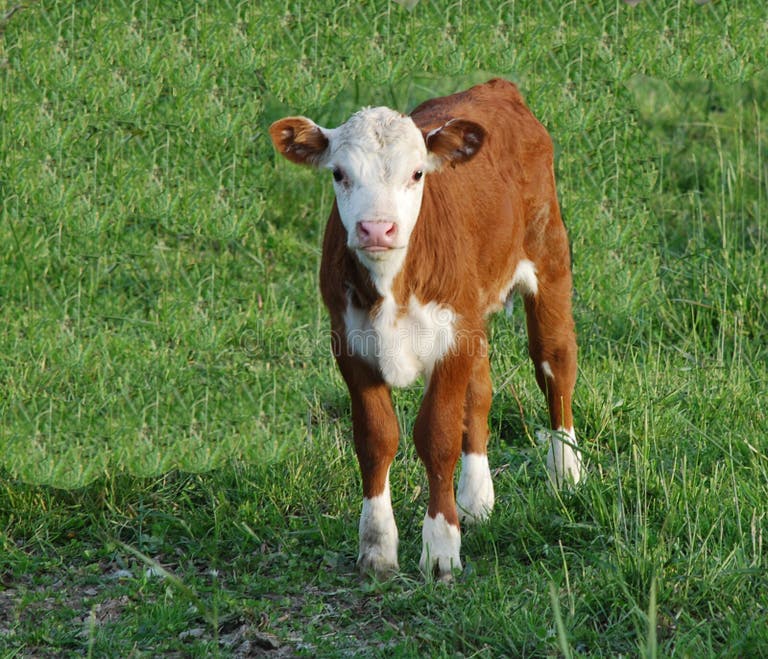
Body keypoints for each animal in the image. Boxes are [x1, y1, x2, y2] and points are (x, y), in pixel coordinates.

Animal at [269, 78, 583, 580]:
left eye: (417, 174)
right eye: (339, 174)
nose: (377, 229)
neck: (390, 286)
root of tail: (495, 87)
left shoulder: (450, 343)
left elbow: (437, 436)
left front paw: (440, 550)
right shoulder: (350, 344)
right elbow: (376, 438)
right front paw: (377, 548)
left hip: (549, 256)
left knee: (555, 365)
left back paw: (567, 472)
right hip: (473, 316)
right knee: (480, 393)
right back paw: (475, 499)